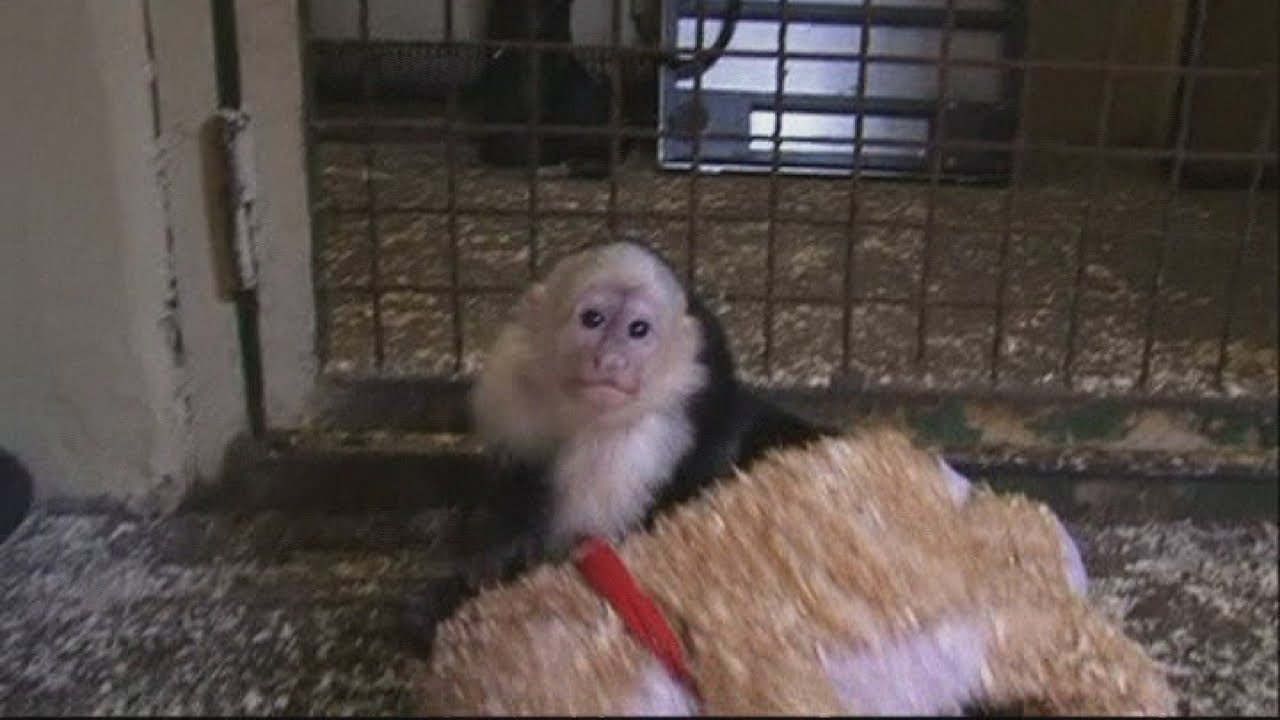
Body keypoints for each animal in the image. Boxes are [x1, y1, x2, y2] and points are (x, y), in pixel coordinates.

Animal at [400, 240, 834, 655]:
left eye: (638, 329)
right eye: (593, 319)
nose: (609, 360)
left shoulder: (638, 445)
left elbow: (582, 551)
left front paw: (468, 591)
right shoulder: (514, 391)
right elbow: (517, 482)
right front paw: (484, 549)